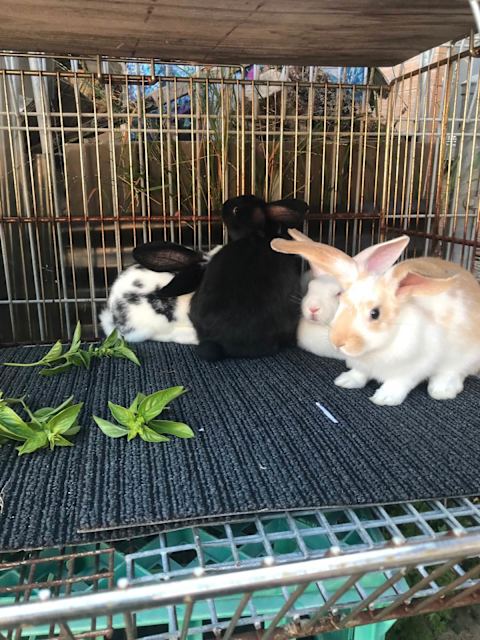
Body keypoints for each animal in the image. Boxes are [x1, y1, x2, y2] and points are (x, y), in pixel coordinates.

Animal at [271, 232, 480, 405]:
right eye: (309, 287)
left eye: (375, 314)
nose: (312, 308)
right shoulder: (360, 364)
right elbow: (359, 374)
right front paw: (346, 381)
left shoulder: (412, 367)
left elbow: (398, 383)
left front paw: (385, 398)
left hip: (462, 357)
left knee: (454, 371)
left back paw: (442, 390)